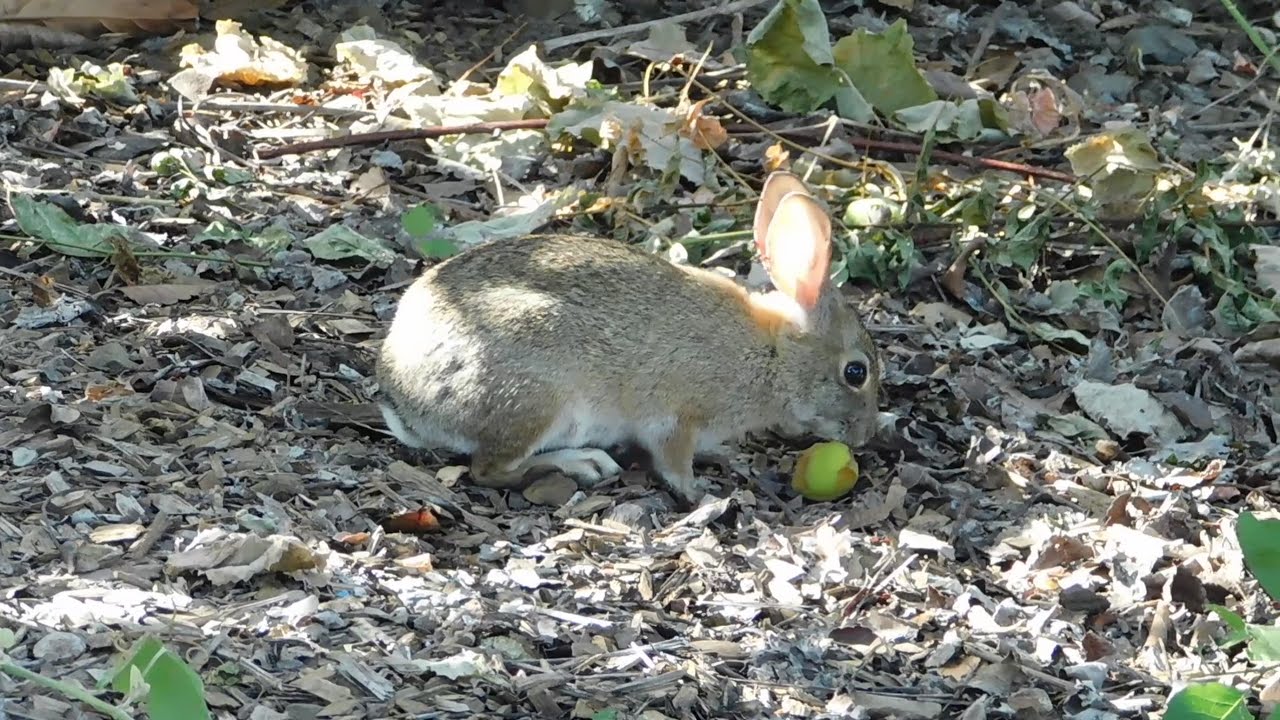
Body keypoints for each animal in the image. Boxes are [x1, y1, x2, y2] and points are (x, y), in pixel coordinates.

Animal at [375, 170, 882, 506]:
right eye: (855, 372)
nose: (865, 436)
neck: (772, 353)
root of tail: (409, 404)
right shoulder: (676, 414)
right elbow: (672, 459)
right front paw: (697, 491)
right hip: (536, 394)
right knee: (489, 470)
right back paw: (581, 463)